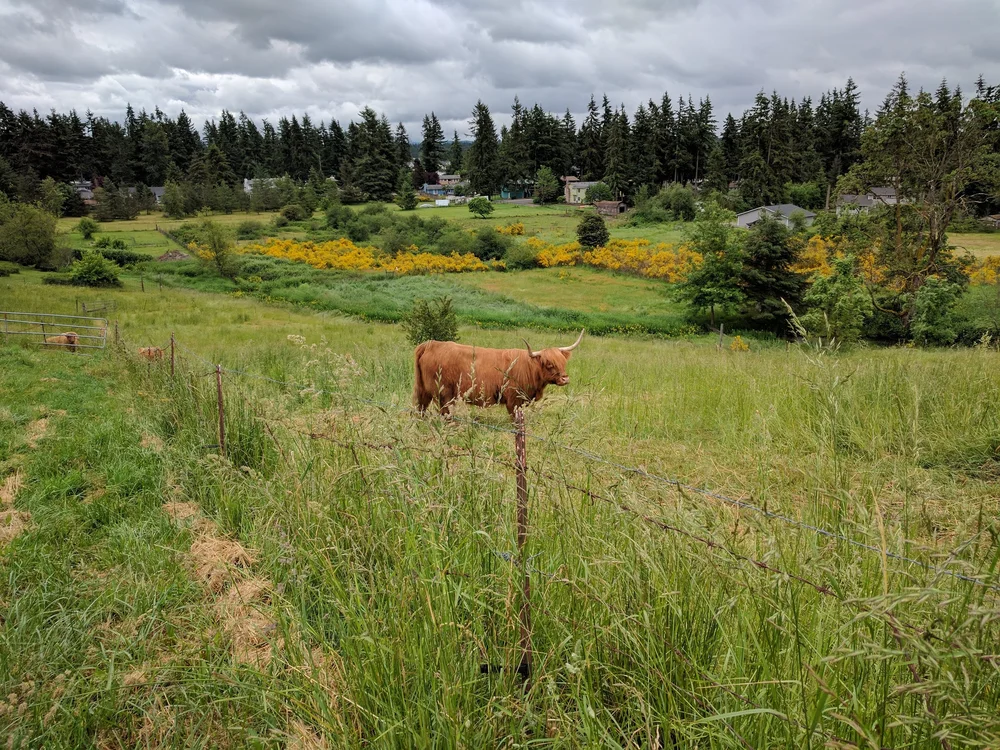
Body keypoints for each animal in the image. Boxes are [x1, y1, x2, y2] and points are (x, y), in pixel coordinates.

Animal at [413, 330, 584, 418]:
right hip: (444, 392)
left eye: (563, 362)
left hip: (423, 389)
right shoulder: (514, 400)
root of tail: (431, 344)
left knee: (421, 407)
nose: (565, 379)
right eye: (549, 364)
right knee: (445, 412)